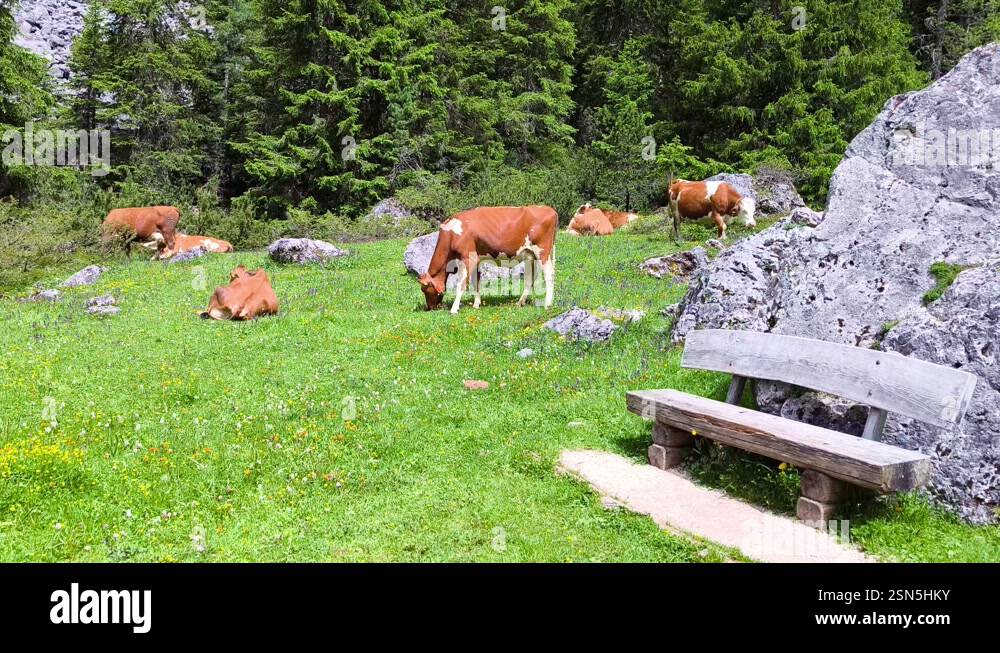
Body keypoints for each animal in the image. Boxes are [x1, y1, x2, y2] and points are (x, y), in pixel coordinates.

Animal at [418, 206, 557, 314]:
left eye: (425, 290)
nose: (429, 308)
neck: (452, 234)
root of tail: (550, 210)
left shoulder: (468, 257)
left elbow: (461, 284)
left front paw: (454, 309)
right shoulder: (477, 259)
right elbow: (476, 282)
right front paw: (476, 304)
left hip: (543, 252)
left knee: (549, 275)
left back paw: (547, 304)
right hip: (530, 255)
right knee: (530, 277)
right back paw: (520, 302)